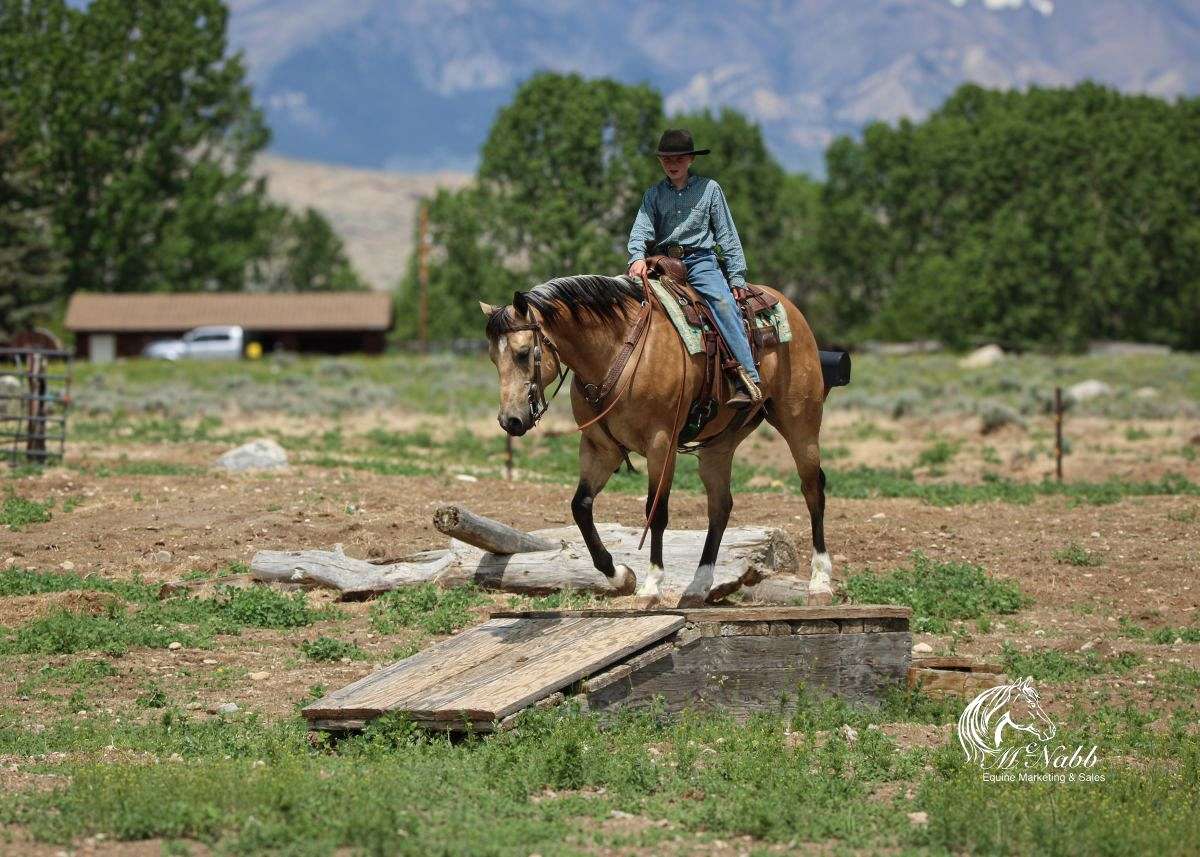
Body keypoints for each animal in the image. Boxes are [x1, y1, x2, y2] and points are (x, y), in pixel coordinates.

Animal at [481, 273, 832, 607]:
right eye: (493, 359)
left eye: (523, 353)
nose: (510, 420)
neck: (619, 353)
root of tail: (788, 306)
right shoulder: (599, 448)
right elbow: (580, 507)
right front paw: (620, 575)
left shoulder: (661, 444)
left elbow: (656, 512)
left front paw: (650, 586)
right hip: (720, 445)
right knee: (720, 505)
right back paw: (698, 587)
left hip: (801, 423)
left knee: (812, 490)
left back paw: (820, 583)